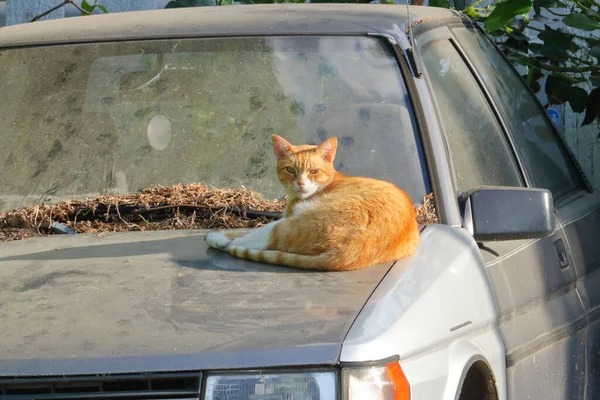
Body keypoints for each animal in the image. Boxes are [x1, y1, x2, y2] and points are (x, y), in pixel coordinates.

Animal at [206, 135, 422, 272]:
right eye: (290, 170)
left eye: (313, 171)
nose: (301, 183)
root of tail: (347, 255)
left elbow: (249, 231)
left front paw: (221, 237)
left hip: (296, 223)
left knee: (266, 237)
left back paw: (227, 242)